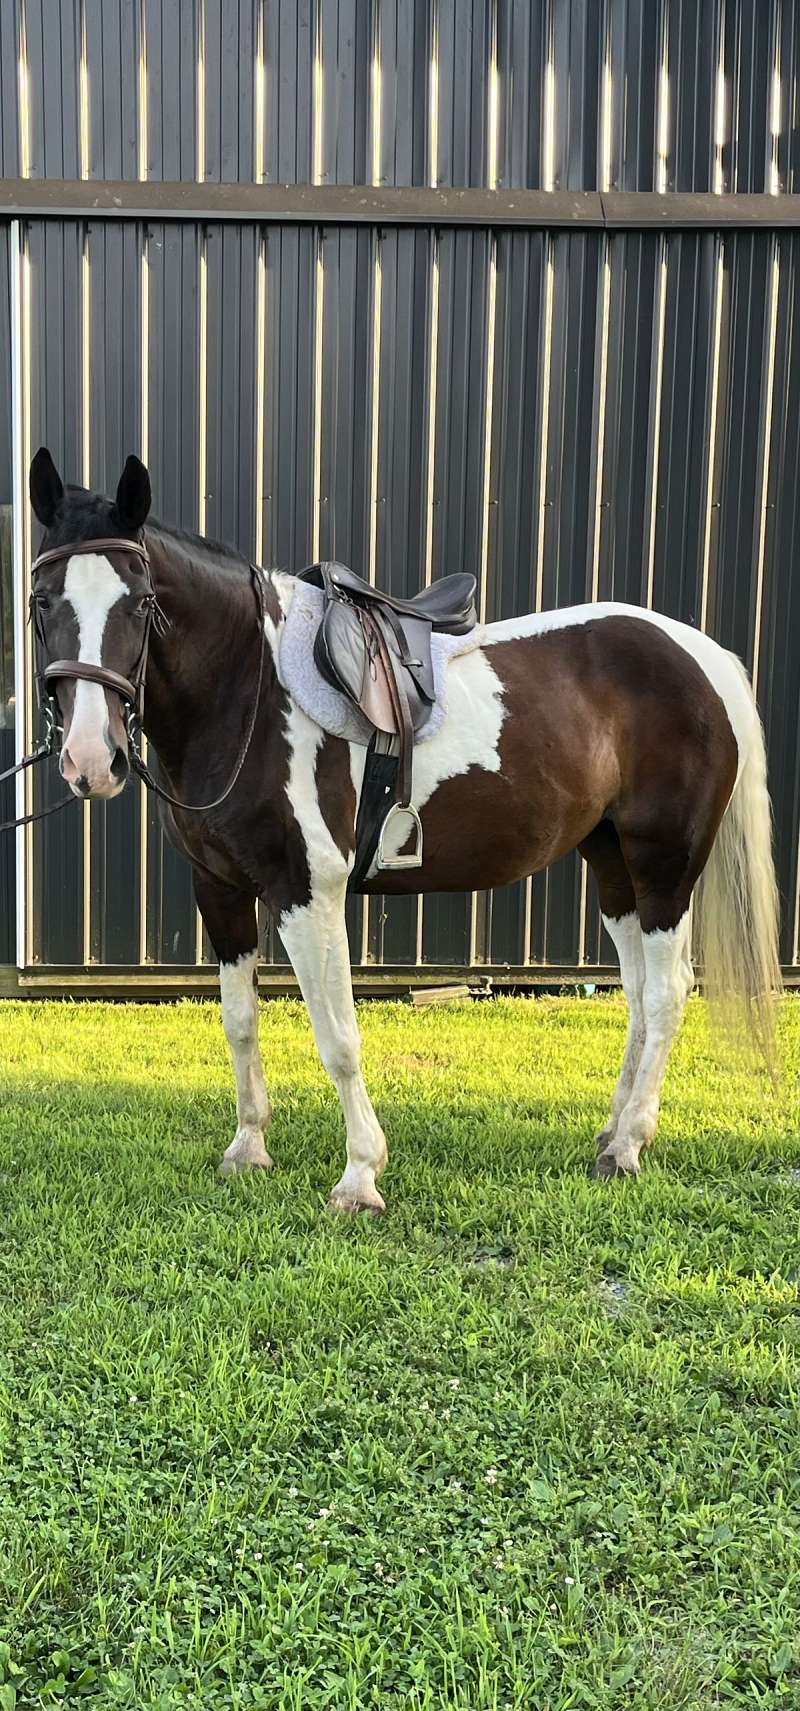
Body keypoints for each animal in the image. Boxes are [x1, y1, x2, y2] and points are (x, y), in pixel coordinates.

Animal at [26, 446, 781, 1212]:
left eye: (140, 603)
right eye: (41, 601)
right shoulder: (220, 888)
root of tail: (705, 655)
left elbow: (338, 1037)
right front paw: (248, 1149)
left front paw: (360, 1175)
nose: (91, 760)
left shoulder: (307, 892)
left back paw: (628, 1146)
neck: (250, 694)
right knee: (635, 993)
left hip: (666, 866)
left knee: (667, 991)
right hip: (613, 863)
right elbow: (239, 1021)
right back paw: (610, 1132)